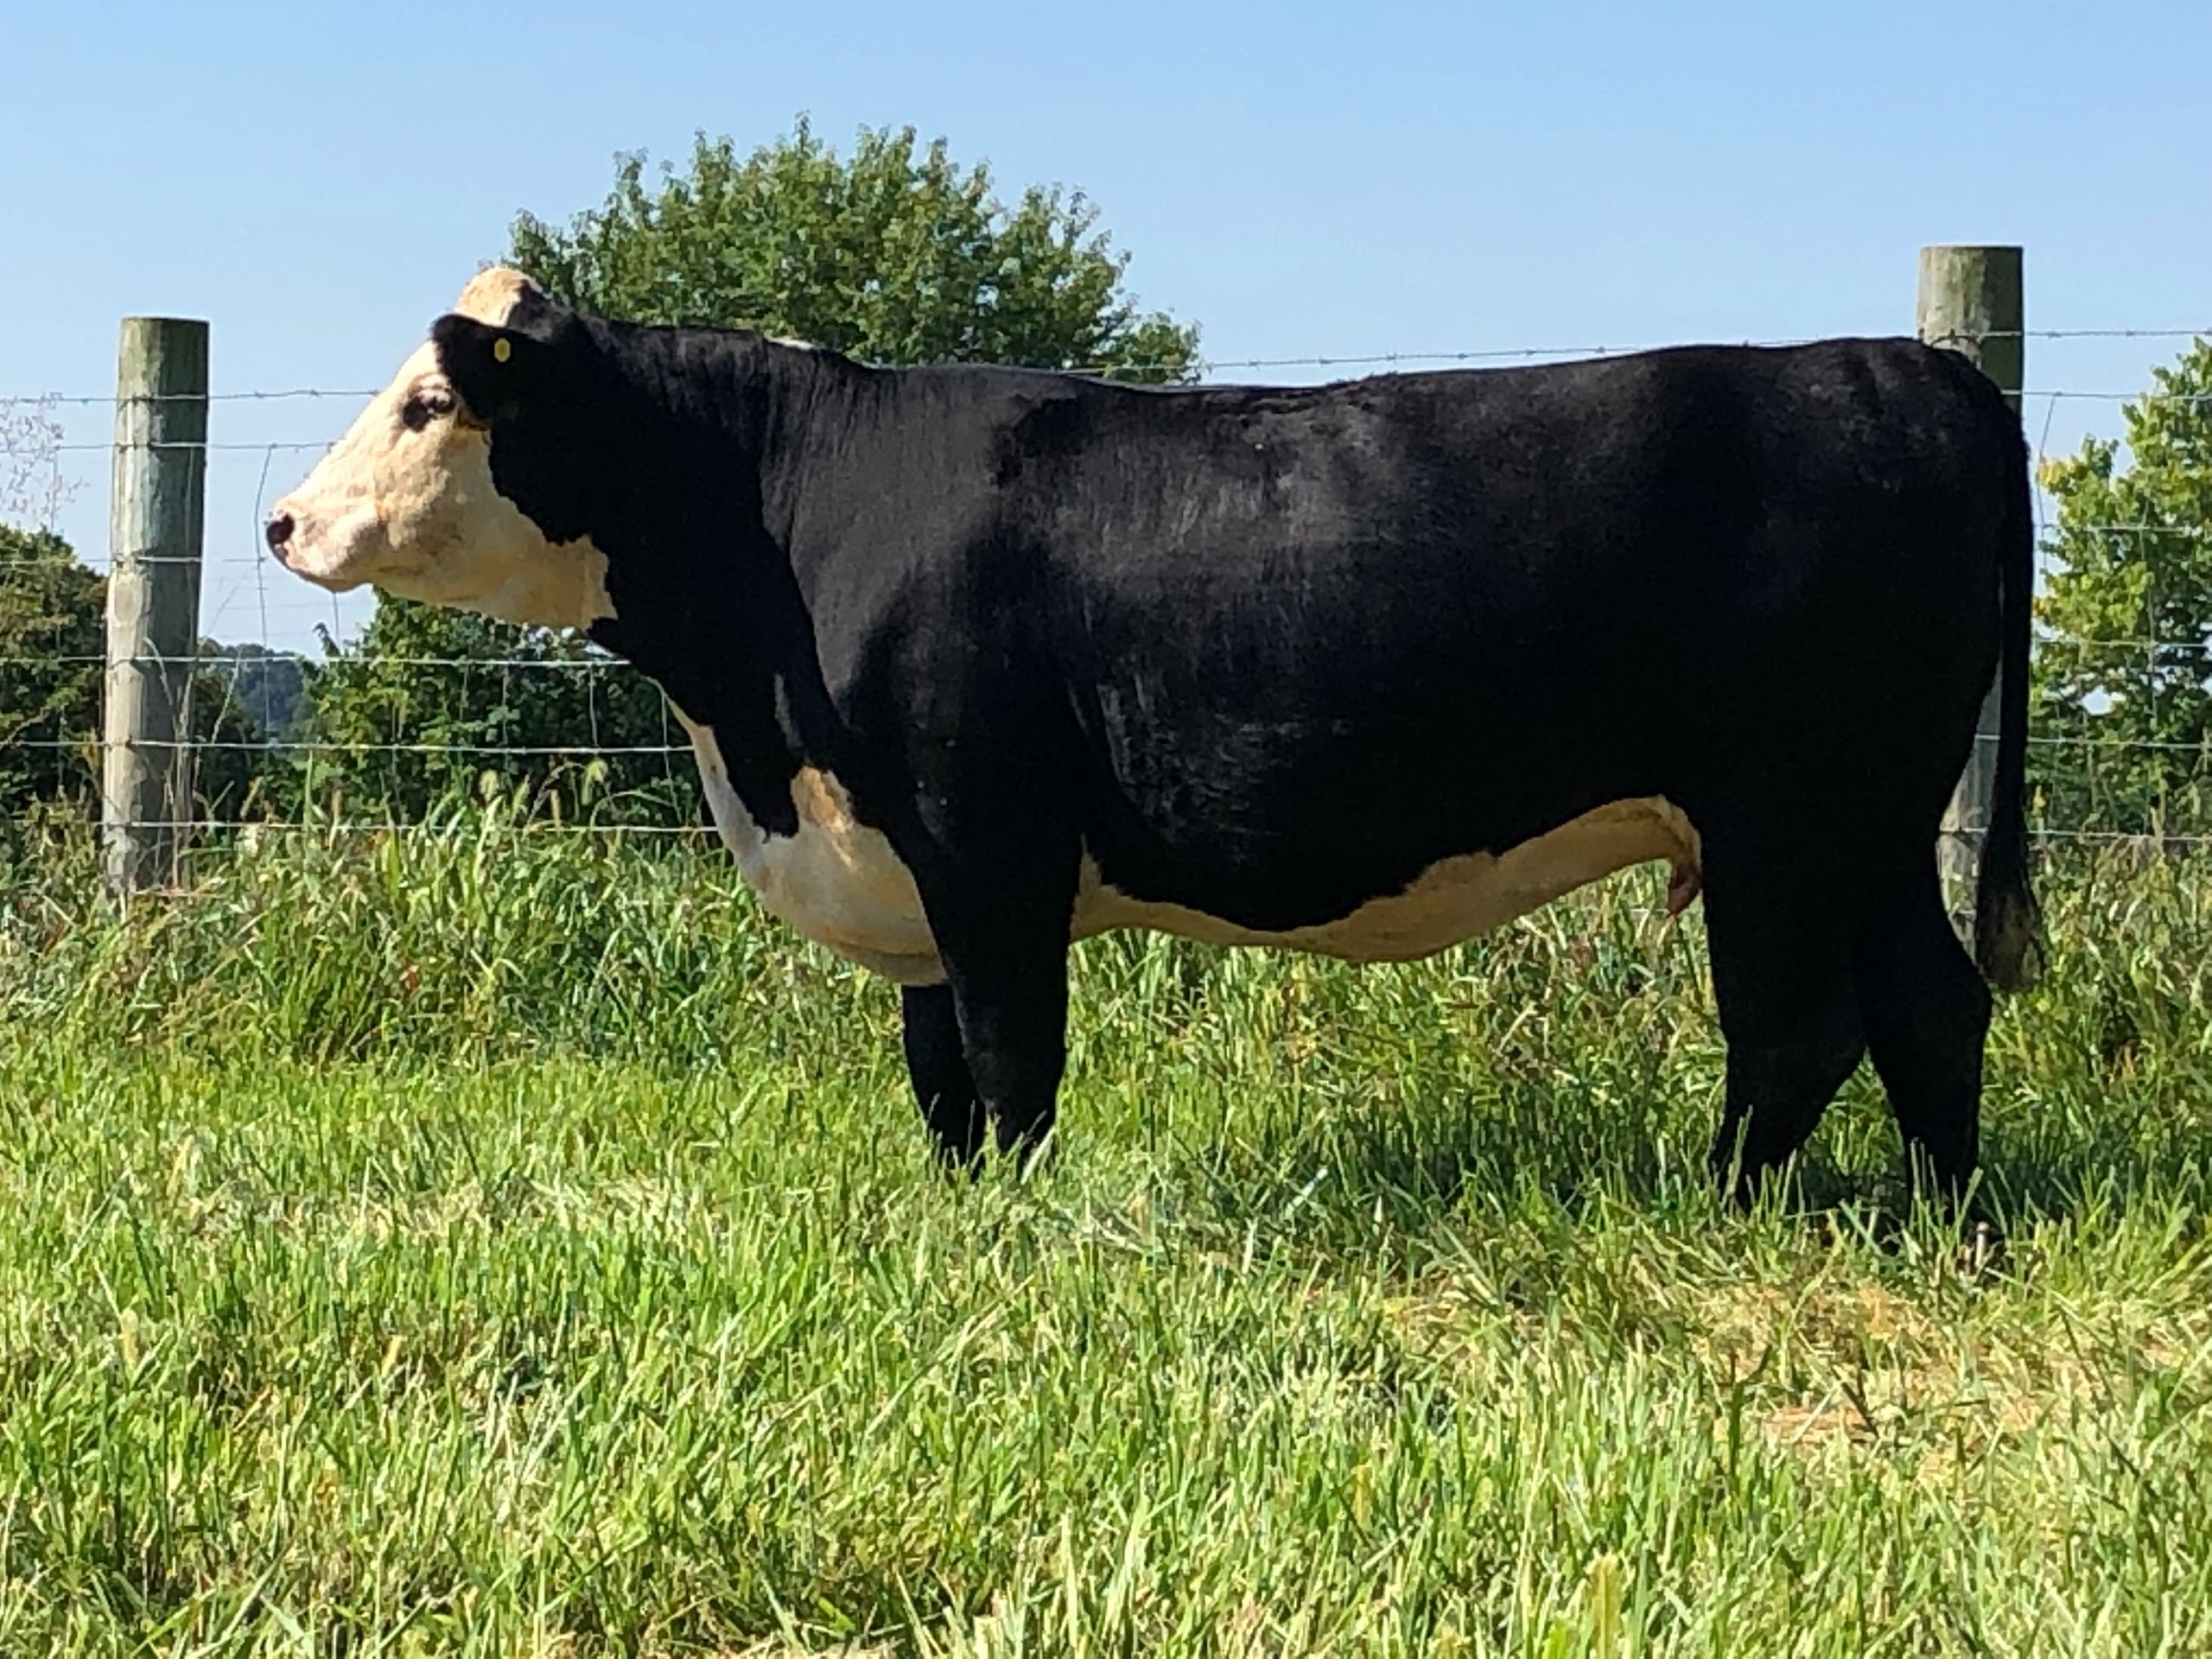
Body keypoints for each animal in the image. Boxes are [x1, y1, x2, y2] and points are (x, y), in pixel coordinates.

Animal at [268, 266, 2039, 1200]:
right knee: (1930, 1007)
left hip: (1784, 821)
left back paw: (1718, 1201)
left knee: (1797, 1030)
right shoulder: (910, 867)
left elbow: (1009, 1053)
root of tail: (1905, 366)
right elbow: (937, 1070)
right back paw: (1938, 1220)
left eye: (433, 401)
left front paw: (1019, 1224)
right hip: (1873, 823)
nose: (284, 522)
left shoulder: (985, 839)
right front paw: (957, 1214)